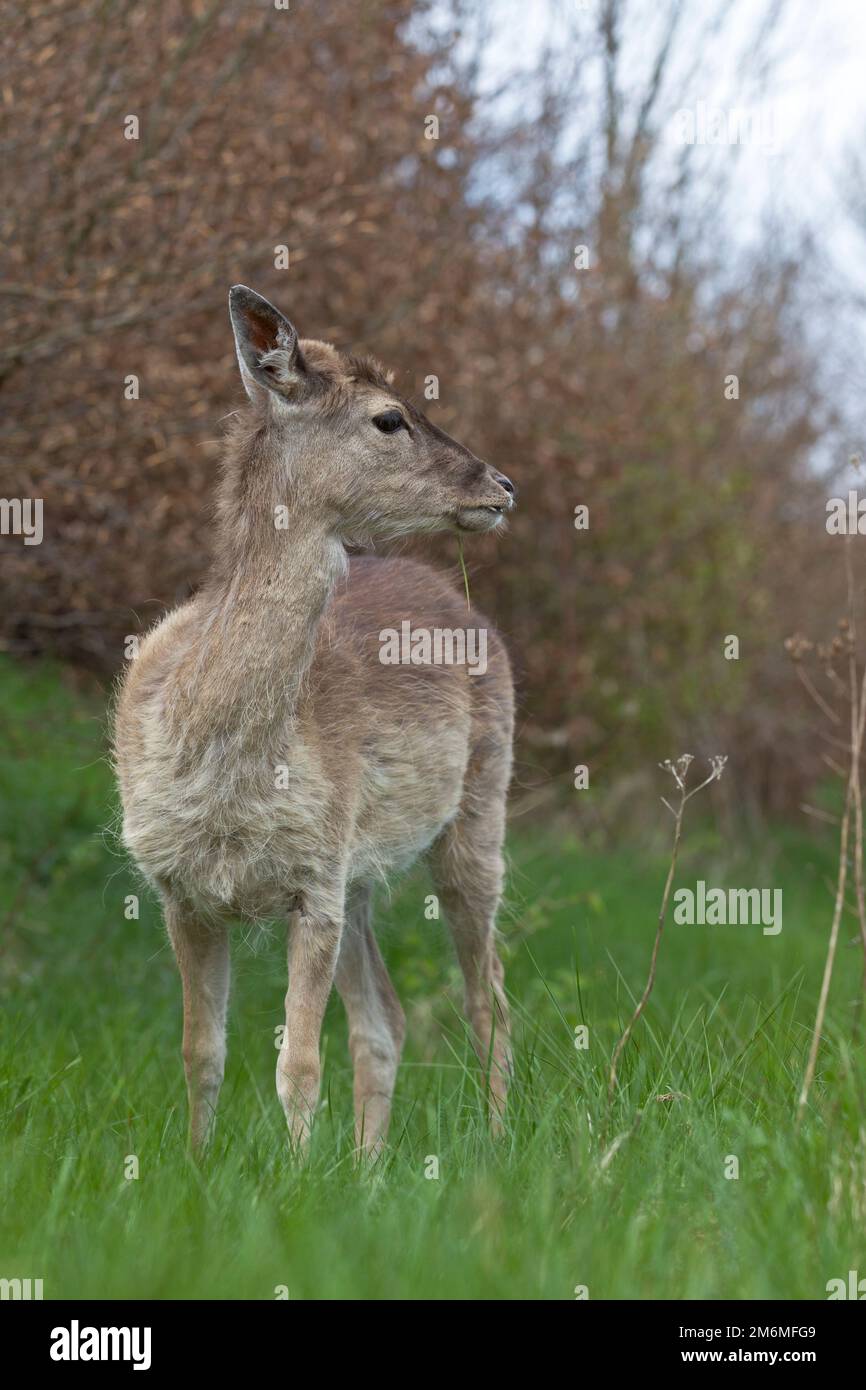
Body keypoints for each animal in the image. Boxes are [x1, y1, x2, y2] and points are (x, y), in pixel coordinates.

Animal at [114, 286, 516, 1156]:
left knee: (489, 999)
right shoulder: (179, 888)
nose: (502, 485)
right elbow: (200, 1050)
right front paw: (196, 1165)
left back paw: (499, 1142)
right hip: (361, 869)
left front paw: (296, 1179)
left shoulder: (315, 880)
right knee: (388, 1018)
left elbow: (297, 1065)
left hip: (478, 811)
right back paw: (369, 1168)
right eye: (389, 418)